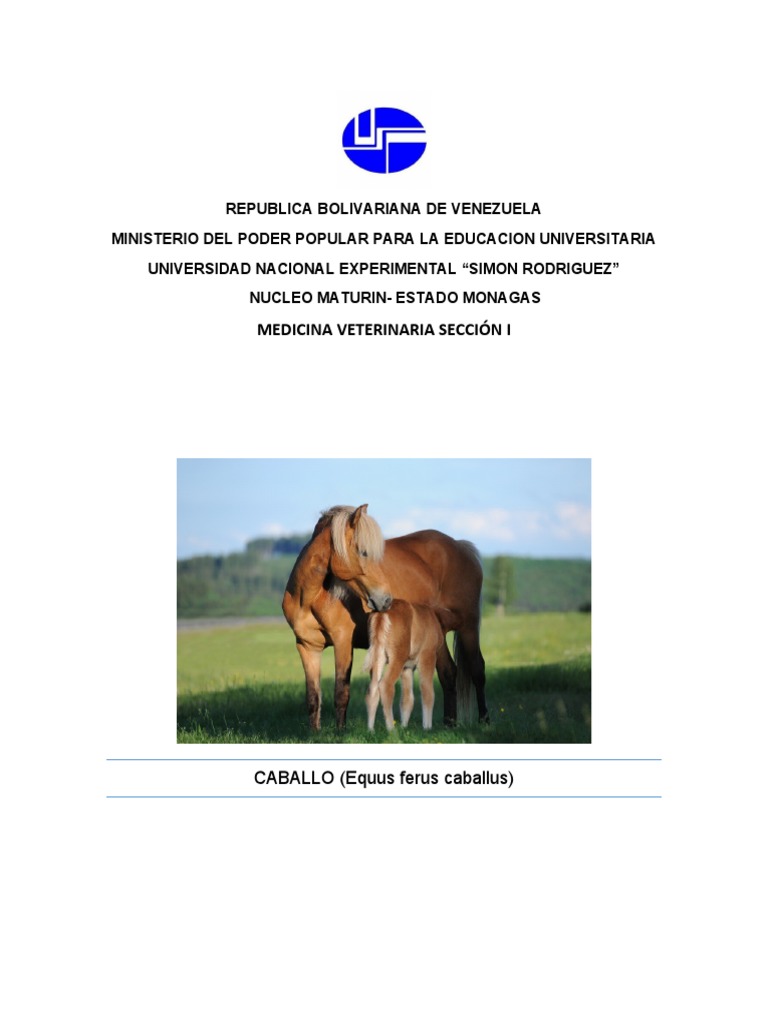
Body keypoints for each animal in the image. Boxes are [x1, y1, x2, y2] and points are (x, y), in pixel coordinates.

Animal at [363, 599, 443, 731]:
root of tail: (382, 613)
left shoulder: (407, 667)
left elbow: (407, 699)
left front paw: (404, 727)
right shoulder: (428, 656)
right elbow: (428, 691)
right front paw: (427, 728)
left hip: (378, 656)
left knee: (372, 689)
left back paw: (370, 730)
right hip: (397, 658)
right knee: (385, 685)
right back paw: (391, 729)